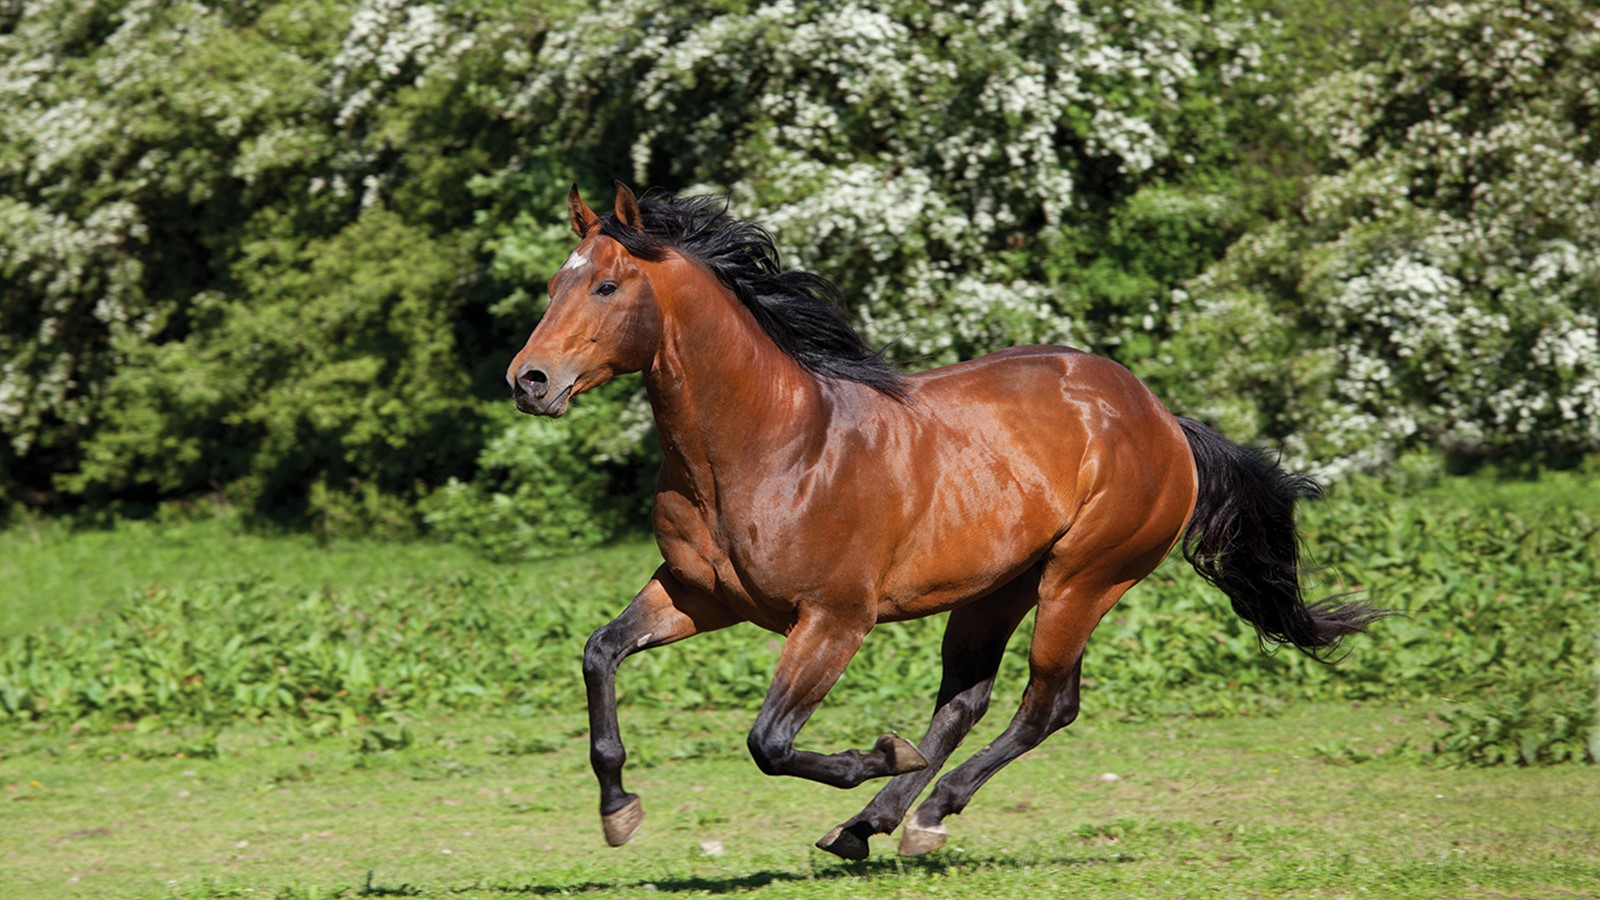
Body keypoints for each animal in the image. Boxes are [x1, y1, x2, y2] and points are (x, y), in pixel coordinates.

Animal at [506, 183, 1384, 860]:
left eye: (607, 287)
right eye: (553, 284)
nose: (530, 380)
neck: (770, 445)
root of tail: (1163, 419)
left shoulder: (834, 620)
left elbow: (770, 742)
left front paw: (879, 753)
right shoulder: (699, 596)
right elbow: (600, 653)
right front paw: (619, 811)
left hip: (1082, 581)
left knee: (1045, 706)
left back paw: (924, 814)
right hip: (996, 590)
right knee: (966, 703)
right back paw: (867, 827)